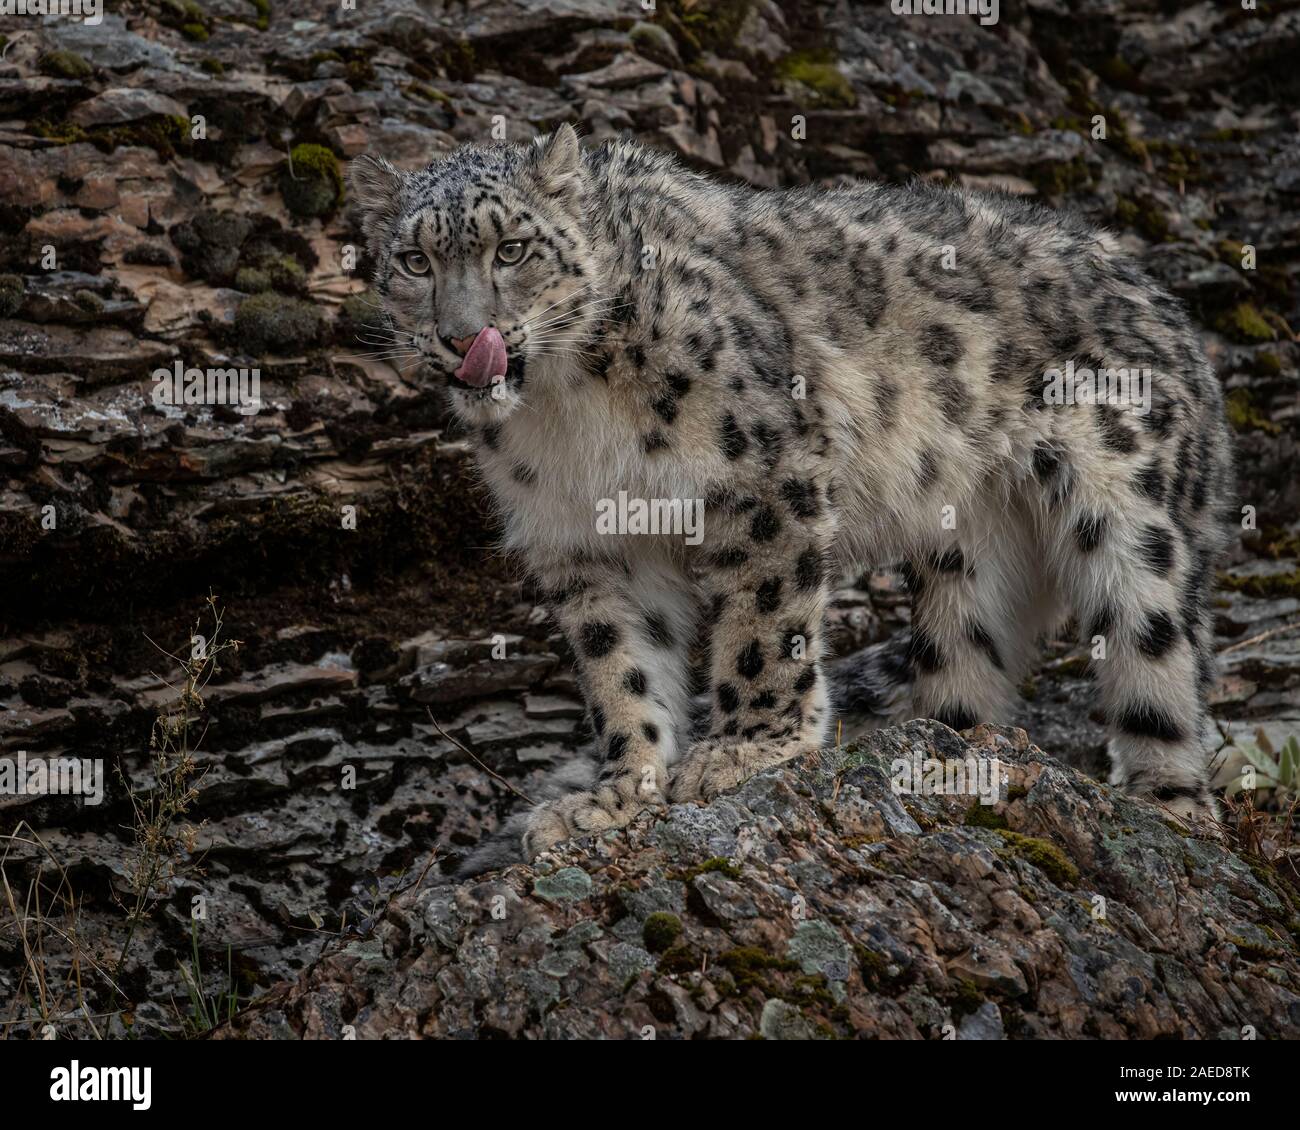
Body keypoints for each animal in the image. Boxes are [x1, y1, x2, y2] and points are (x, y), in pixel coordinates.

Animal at [348, 123, 1235, 865]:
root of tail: (1171, 310)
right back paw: (952, 756)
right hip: (970, 551)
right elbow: (621, 667)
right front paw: (617, 792)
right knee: (967, 663)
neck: (566, 412)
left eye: (512, 249)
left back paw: (1166, 808)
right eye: (415, 262)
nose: (463, 338)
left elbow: (761, 624)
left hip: (1129, 509)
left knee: (1157, 660)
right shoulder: (587, 542)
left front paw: (746, 747)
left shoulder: (762, 474)